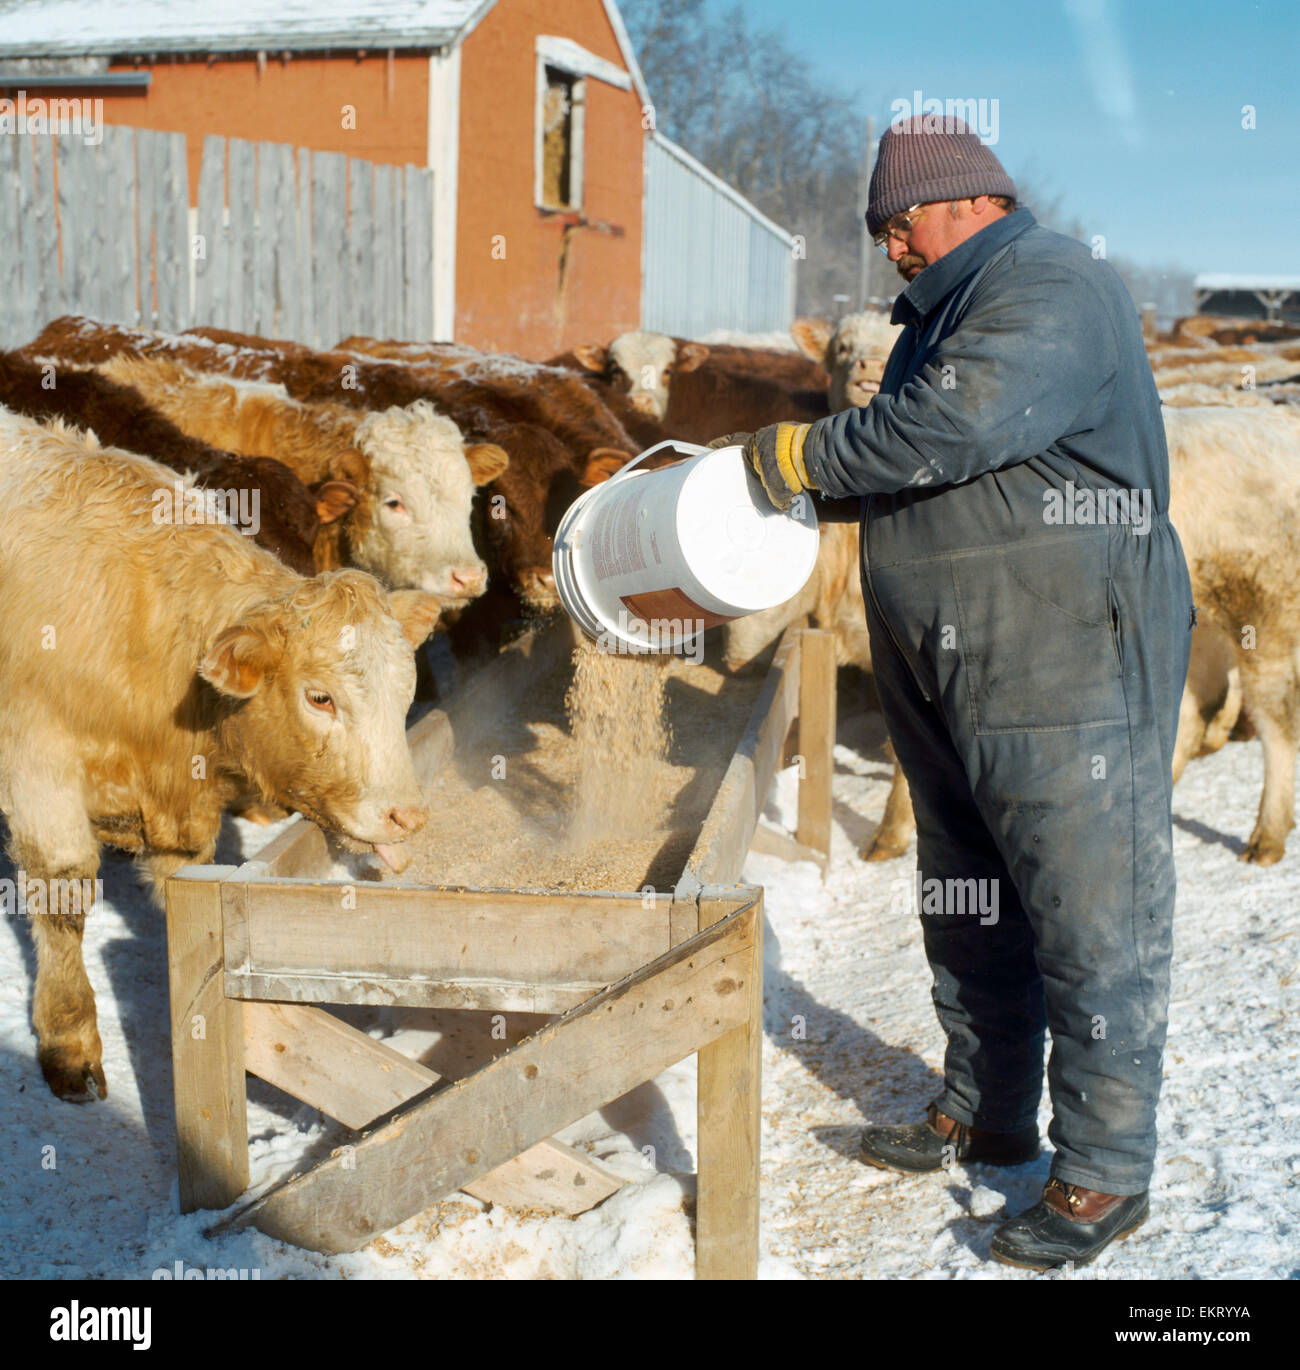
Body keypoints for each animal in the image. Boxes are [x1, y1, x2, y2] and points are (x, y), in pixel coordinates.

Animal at [0, 407, 441, 1101]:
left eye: (406, 694)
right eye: (320, 697)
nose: (408, 816)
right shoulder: (37, 764)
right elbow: (63, 894)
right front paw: (69, 1042)